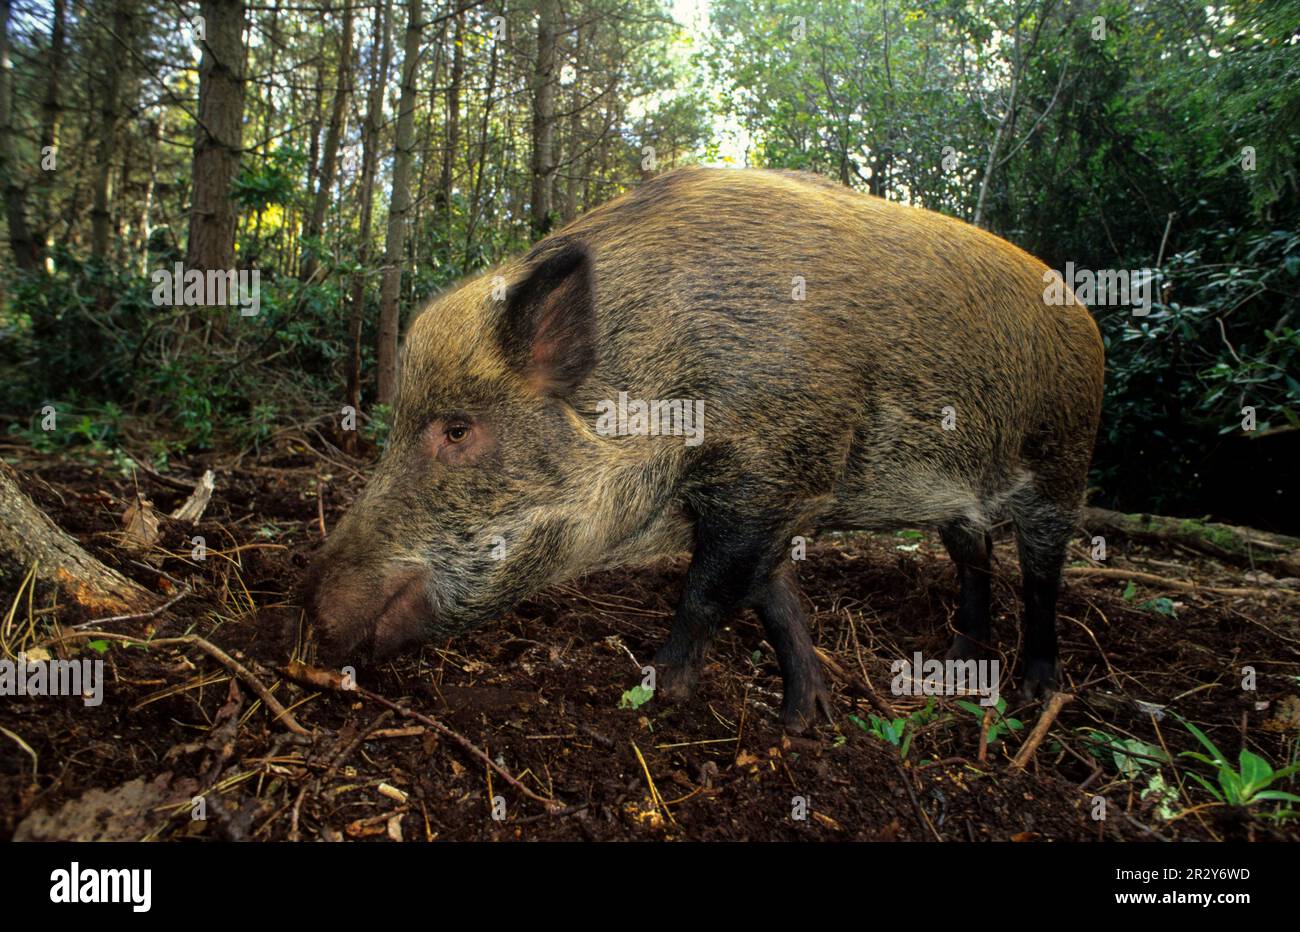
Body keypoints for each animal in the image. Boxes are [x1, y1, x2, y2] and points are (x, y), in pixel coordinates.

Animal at [303, 166, 1104, 731]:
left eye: (458, 430)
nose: (301, 617)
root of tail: (1086, 315)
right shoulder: (765, 492)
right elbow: (772, 597)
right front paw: (808, 719)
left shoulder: (771, 476)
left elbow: (708, 592)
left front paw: (654, 699)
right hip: (963, 497)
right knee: (974, 552)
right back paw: (958, 661)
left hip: (1065, 458)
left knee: (1041, 571)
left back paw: (1035, 692)